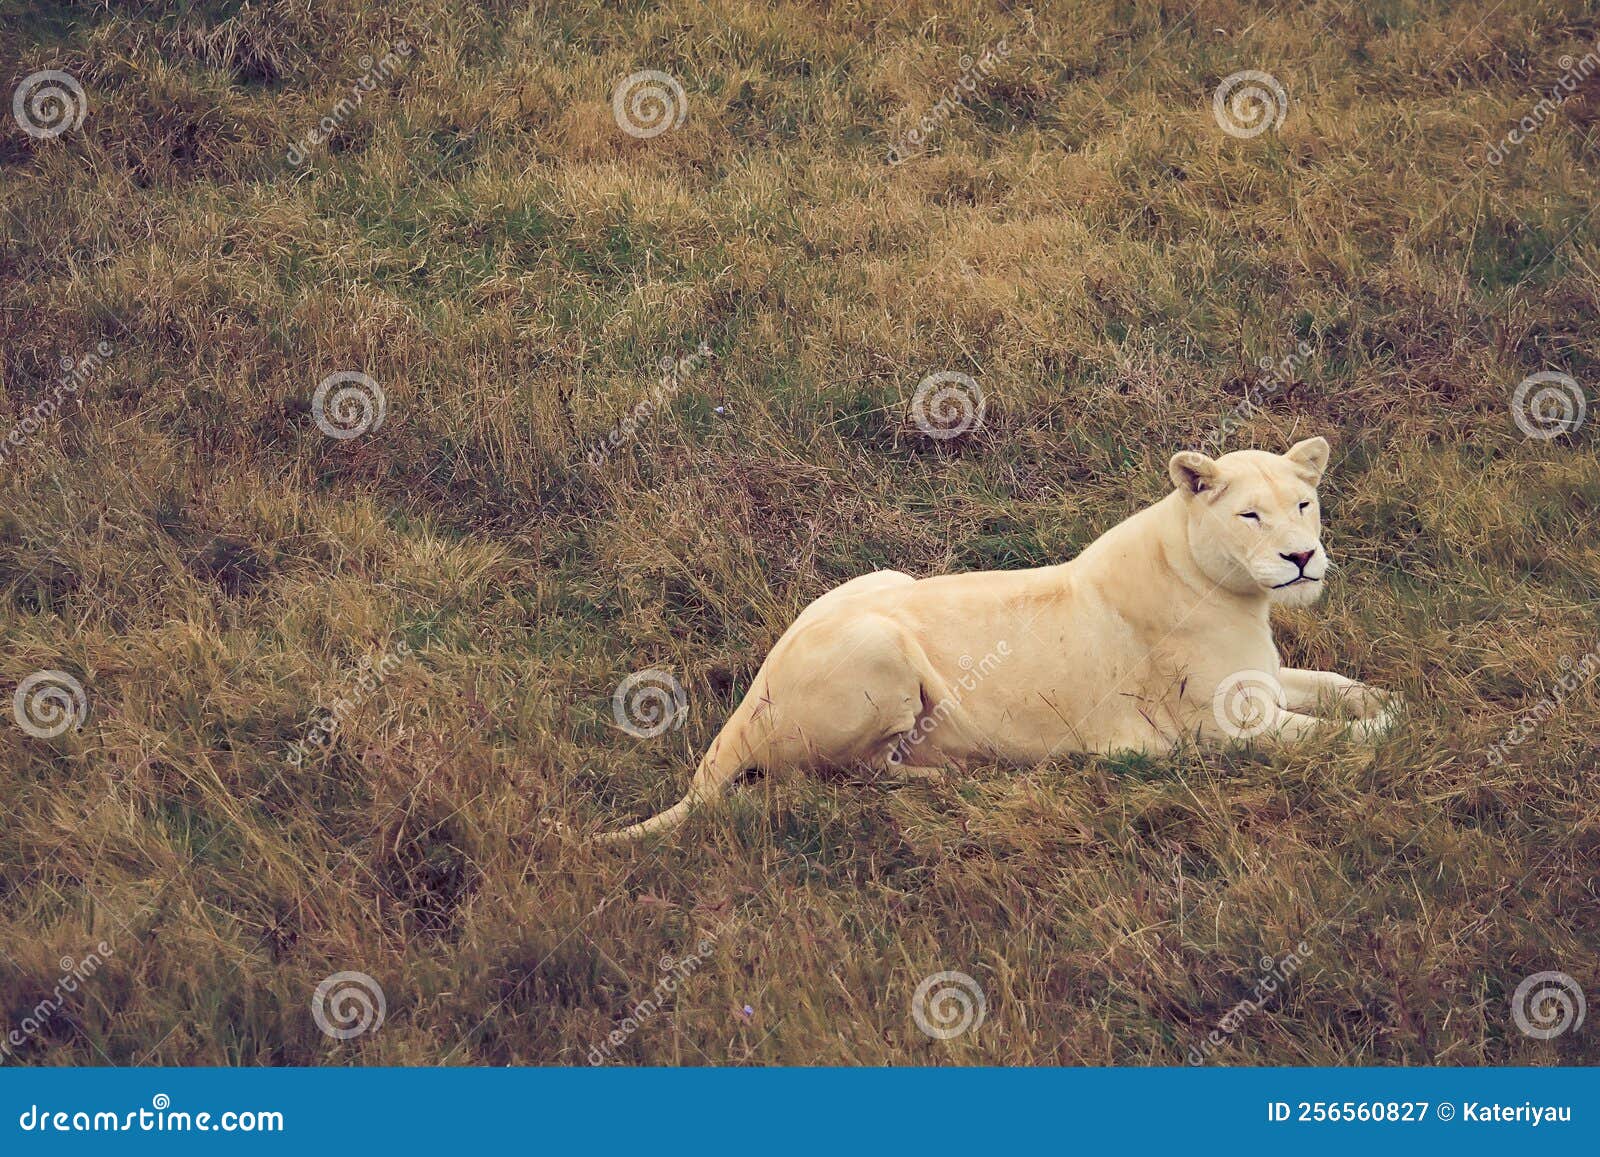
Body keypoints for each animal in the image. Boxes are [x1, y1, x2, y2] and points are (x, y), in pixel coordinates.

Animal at [599, 435, 1399, 842]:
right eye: (1250, 516)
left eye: (1304, 503)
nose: (1302, 557)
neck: (1237, 596)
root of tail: (748, 699)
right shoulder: (1224, 727)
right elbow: (1334, 736)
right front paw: (1393, 725)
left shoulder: (1261, 678)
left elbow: (1340, 688)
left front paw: (1382, 699)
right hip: (878, 651)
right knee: (848, 776)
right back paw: (964, 776)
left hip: (878, 580)